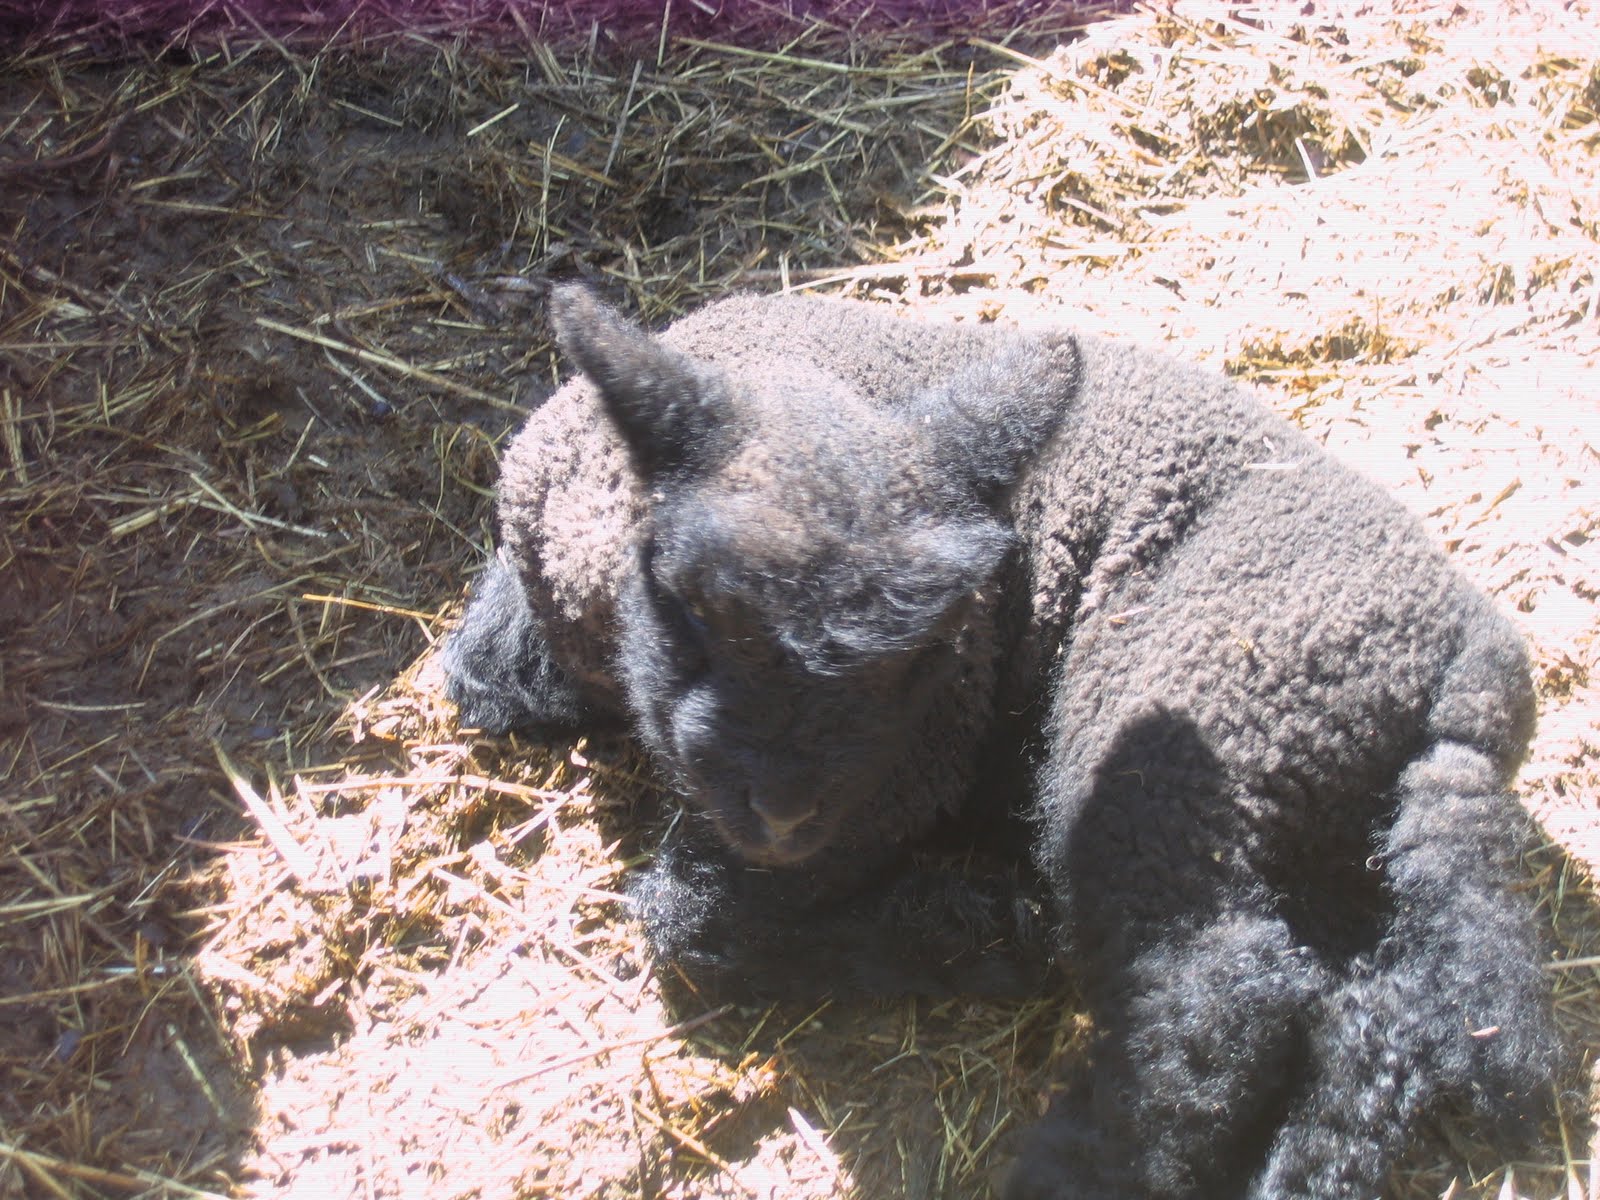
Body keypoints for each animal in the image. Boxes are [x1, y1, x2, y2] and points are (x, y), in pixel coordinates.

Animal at [444, 285, 1560, 1199]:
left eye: (928, 648)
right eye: (694, 608)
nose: (785, 807)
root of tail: (1466, 681)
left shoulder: (899, 781)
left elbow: (687, 915)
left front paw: (970, 931)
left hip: (1175, 739)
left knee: (1218, 989)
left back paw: (1074, 1166)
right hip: (1332, 827)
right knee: (1380, 1019)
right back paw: (1300, 1166)